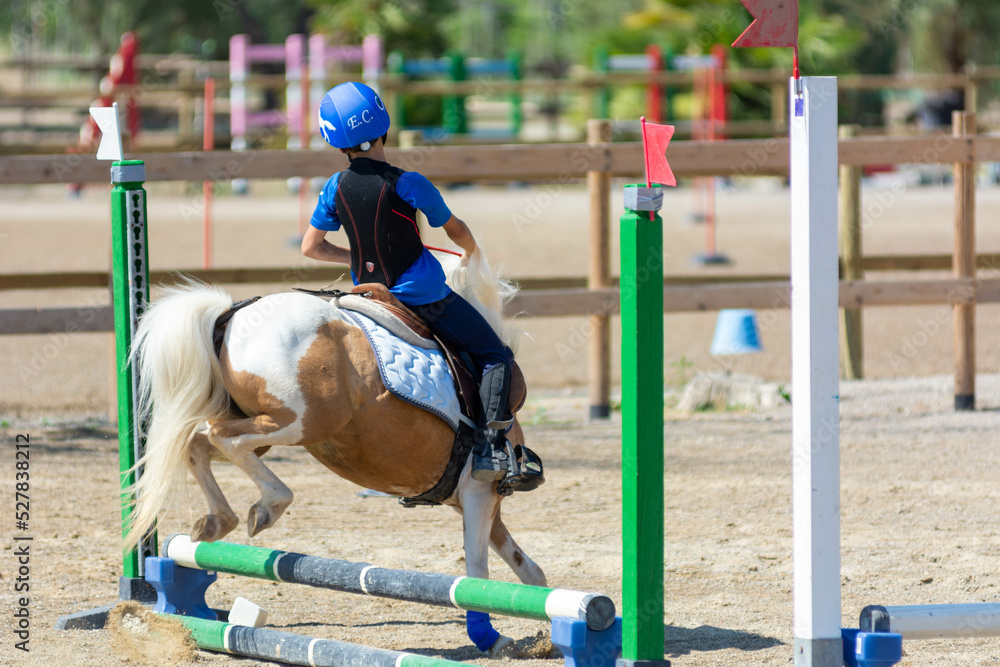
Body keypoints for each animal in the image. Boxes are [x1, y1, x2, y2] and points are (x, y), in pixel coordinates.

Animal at [122, 253, 545, 656]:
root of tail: (234, 314)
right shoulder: (480, 493)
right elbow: (476, 571)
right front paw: (490, 638)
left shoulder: (471, 499)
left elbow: (524, 567)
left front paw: (539, 625)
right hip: (302, 422)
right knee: (224, 440)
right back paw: (269, 506)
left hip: (263, 426)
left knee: (198, 445)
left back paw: (217, 521)